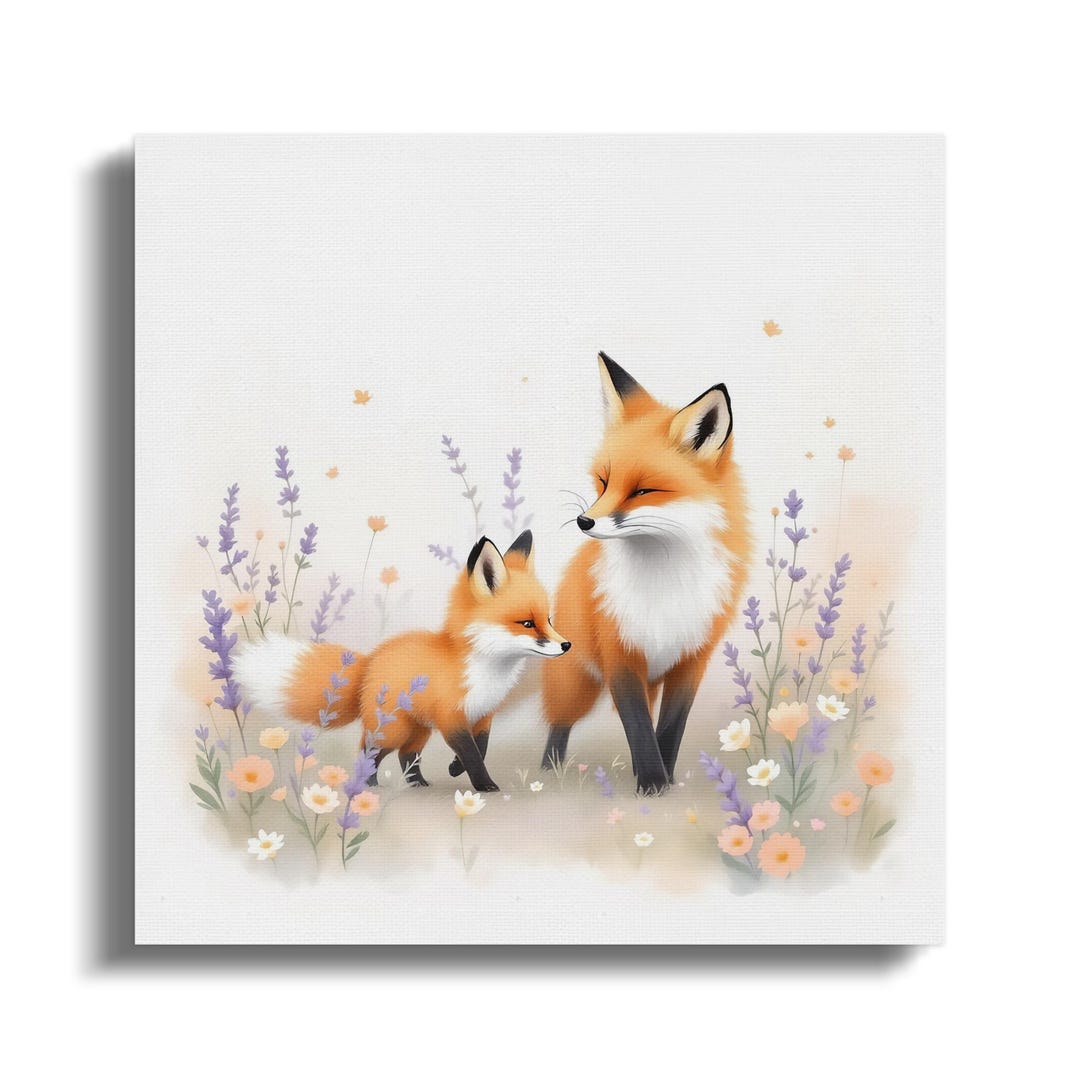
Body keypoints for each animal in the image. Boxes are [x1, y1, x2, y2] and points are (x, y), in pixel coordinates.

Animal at [233, 530, 570, 793]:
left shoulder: (484, 715)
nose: (566, 645)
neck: (485, 670)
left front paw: (454, 769)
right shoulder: (451, 717)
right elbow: (472, 753)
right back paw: (368, 785)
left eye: (549, 619)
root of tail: (371, 660)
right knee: (367, 752)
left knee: (406, 756)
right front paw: (483, 783)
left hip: (418, 731)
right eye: (527, 623)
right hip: (393, 729)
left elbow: (481, 748)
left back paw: (417, 783)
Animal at [540, 352, 750, 794]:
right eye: (603, 482)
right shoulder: (620, 654)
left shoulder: (691, 660)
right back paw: (549, 771)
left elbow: (667, 730)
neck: (664, 582)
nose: (584, 521)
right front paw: (652, 782)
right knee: (559, 722)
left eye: (642, 491)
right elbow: (638, 725)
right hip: (576, 682)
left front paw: (663, 781)